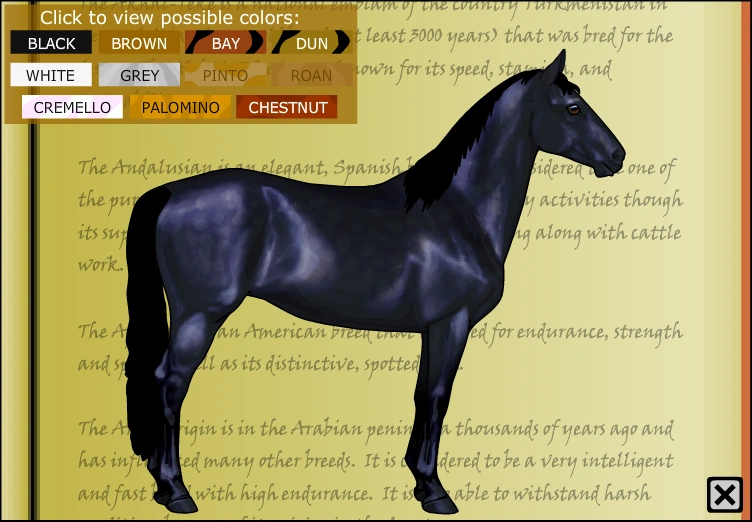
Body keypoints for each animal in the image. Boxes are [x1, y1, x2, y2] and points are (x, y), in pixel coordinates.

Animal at [123, 49, 625, 515]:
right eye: (573, 108)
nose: (617, 156)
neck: (460, 211)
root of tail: (169, 192)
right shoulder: (453, 322)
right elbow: (438, 398)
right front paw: (437, 493)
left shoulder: (431, 328)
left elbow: (422, 395)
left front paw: (420, 482)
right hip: (200, 314)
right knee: (171, 383)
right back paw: (177, 491)